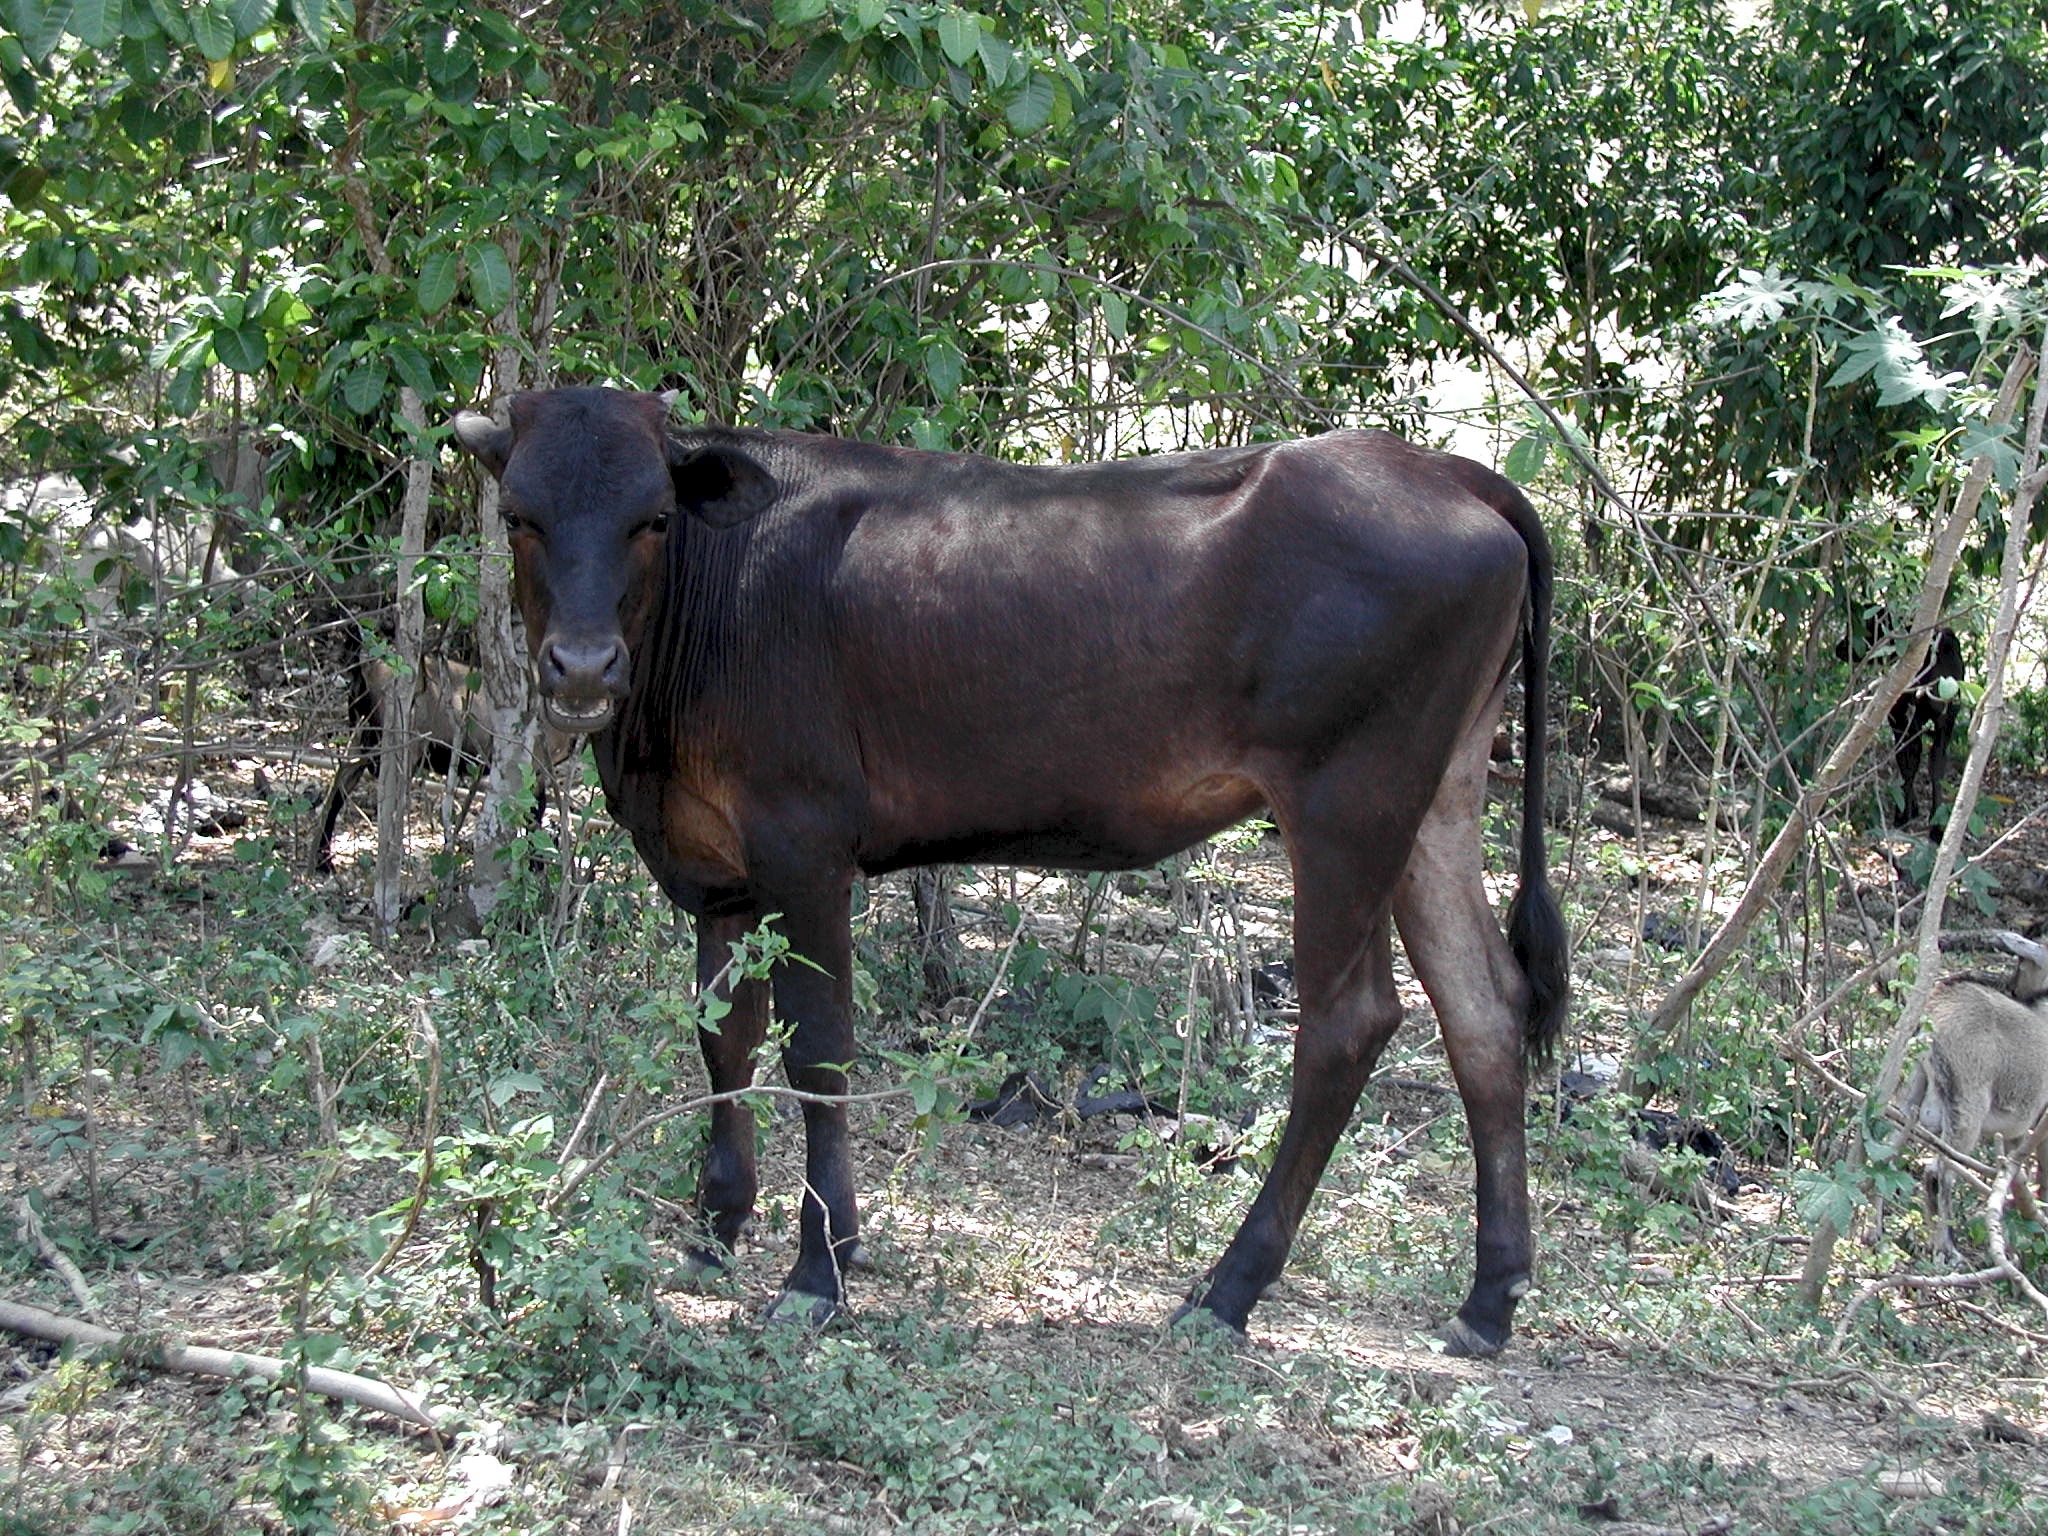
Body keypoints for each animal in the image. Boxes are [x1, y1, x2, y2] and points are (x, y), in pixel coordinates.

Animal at [452, 386, 1569, 1357]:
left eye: (650, 518)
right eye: (518, 516)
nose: (582, 666)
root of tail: (1444, 471)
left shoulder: (806, 842)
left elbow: (818, 1052)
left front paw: (819, 1271)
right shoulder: (714, 861)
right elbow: (722, 1037)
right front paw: (711, 1232)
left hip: (1347, 800)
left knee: (1349, 1025)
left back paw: (1227, 1291)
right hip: (1436, 796)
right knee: (1482, 1009)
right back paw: (1489, 1298)